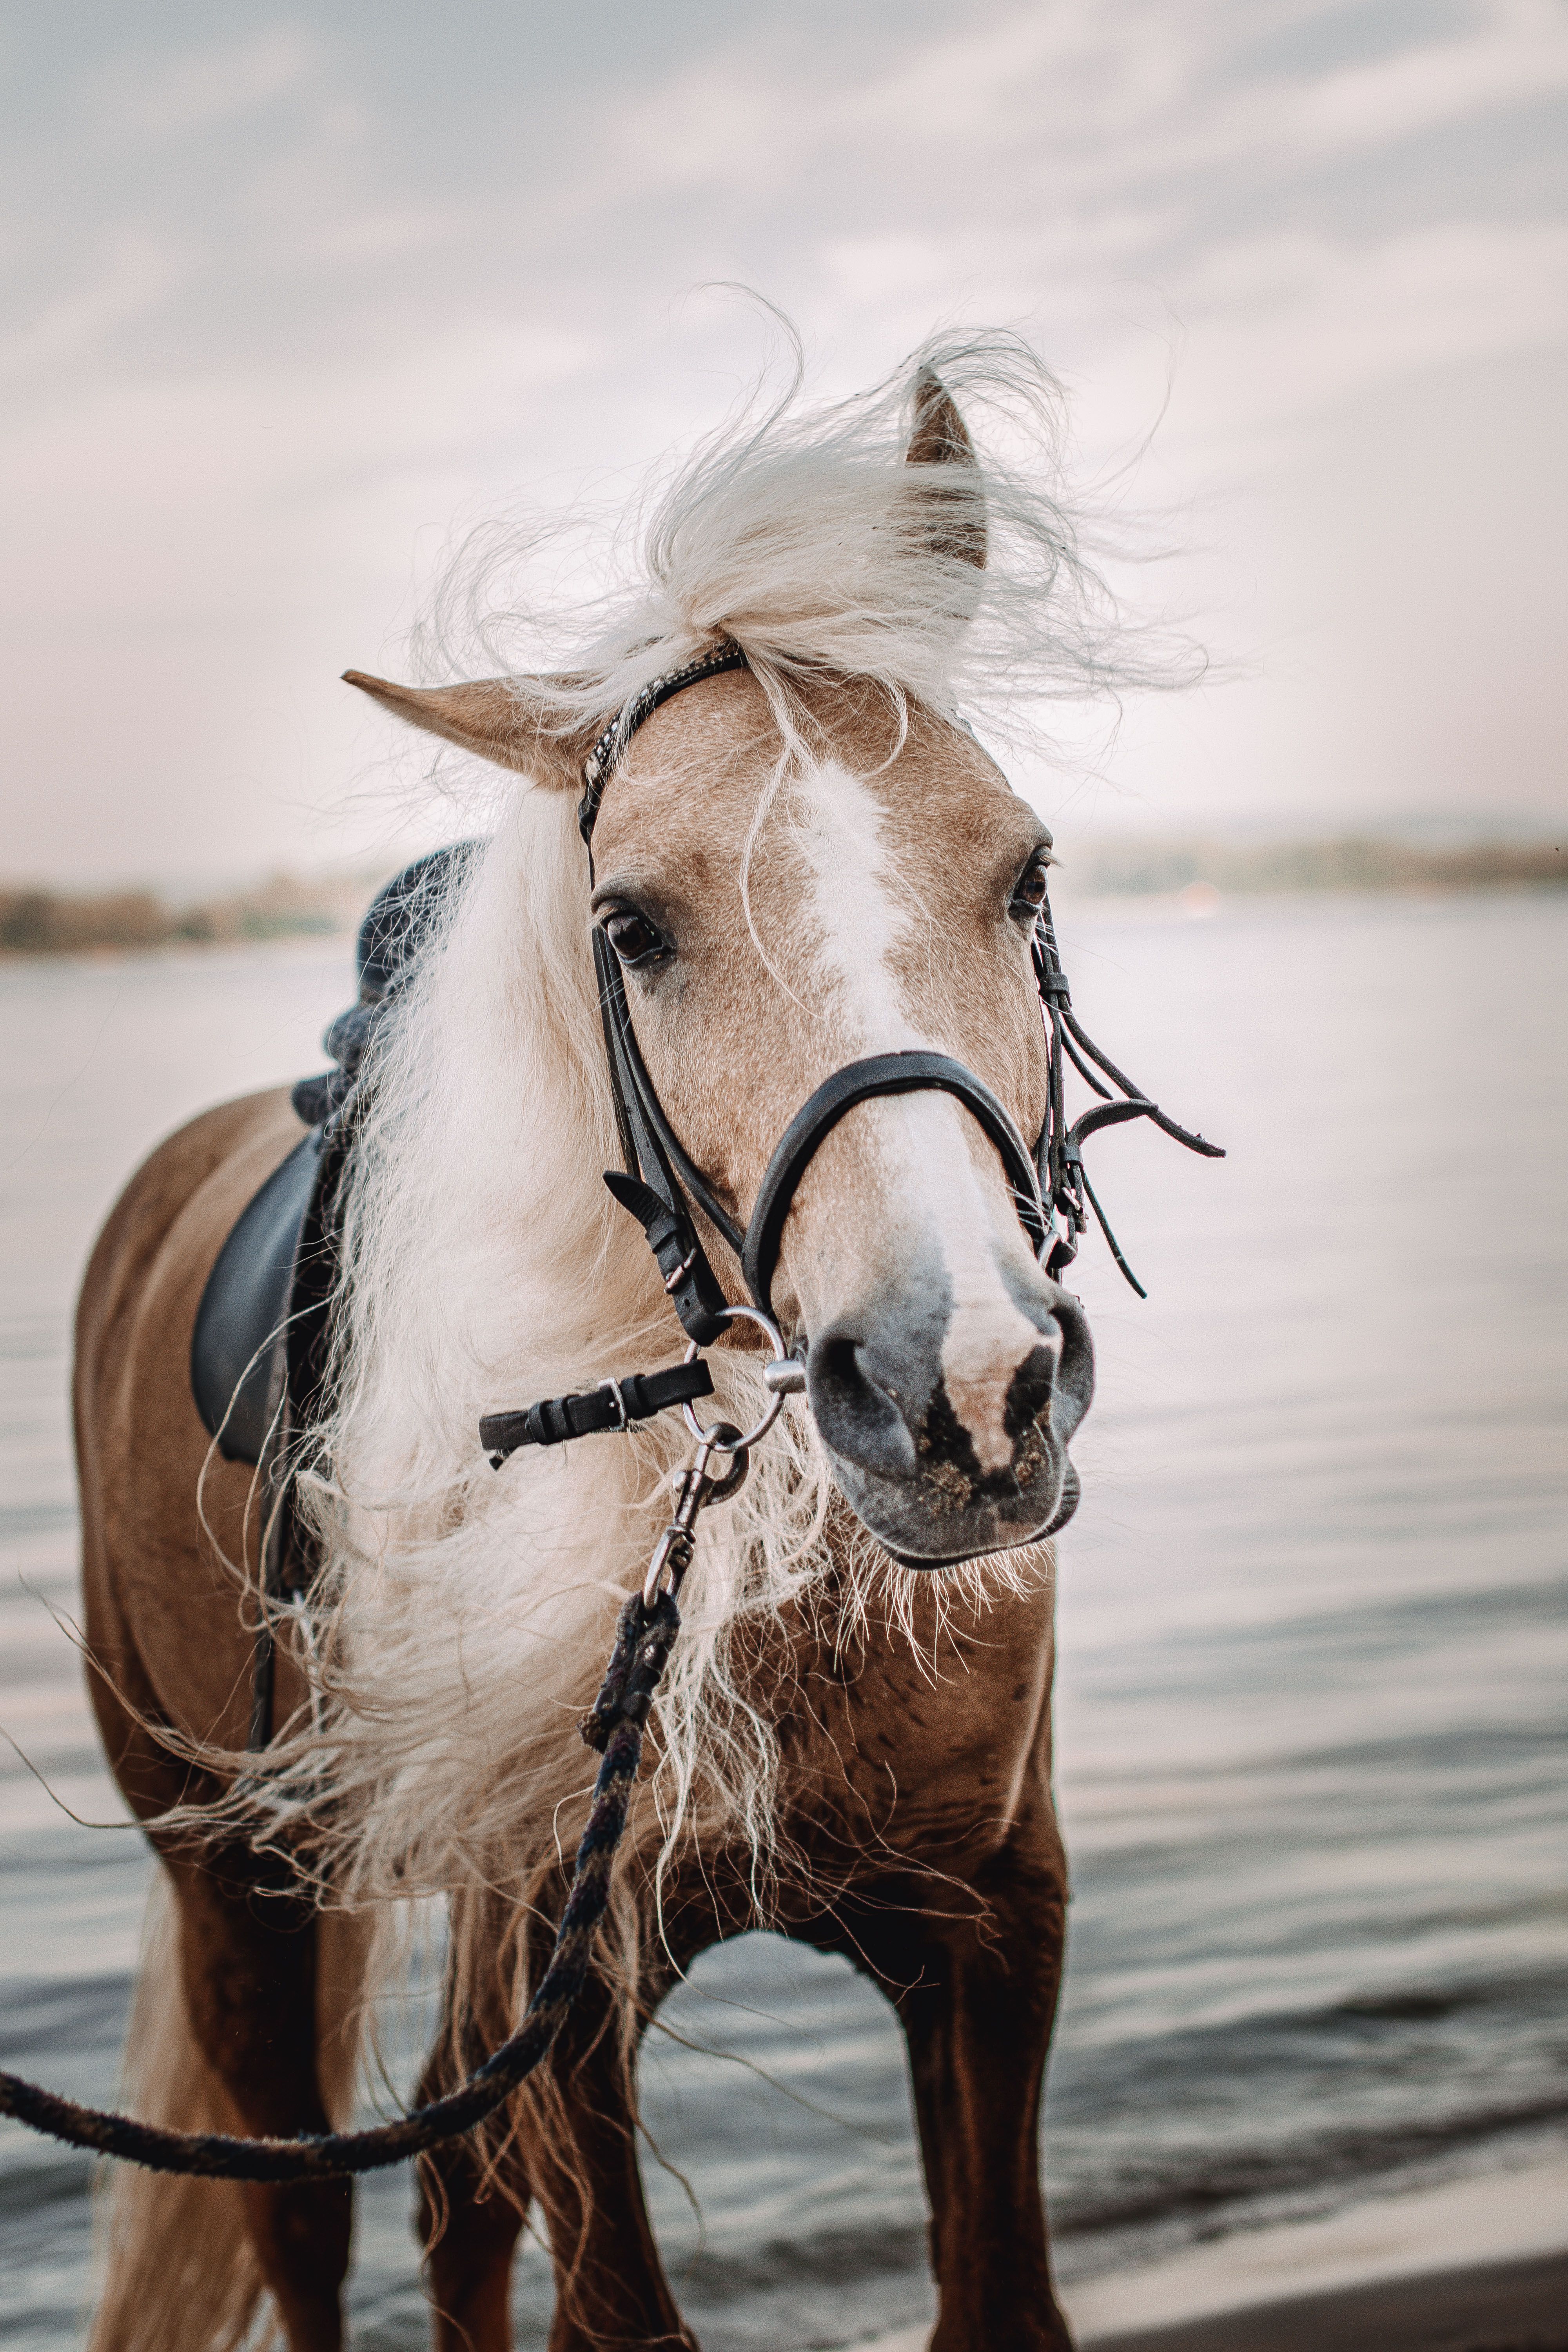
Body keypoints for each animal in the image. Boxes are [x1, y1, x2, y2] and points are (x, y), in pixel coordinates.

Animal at [74, 347, 1163, 2352]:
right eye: (631, 927)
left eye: (1025, 875)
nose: (960, 1390)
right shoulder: (565, 2008)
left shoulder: (993, 1932)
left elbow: (994, 2294)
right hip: (232, 1884)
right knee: (303, 2220)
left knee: (445, 2195)